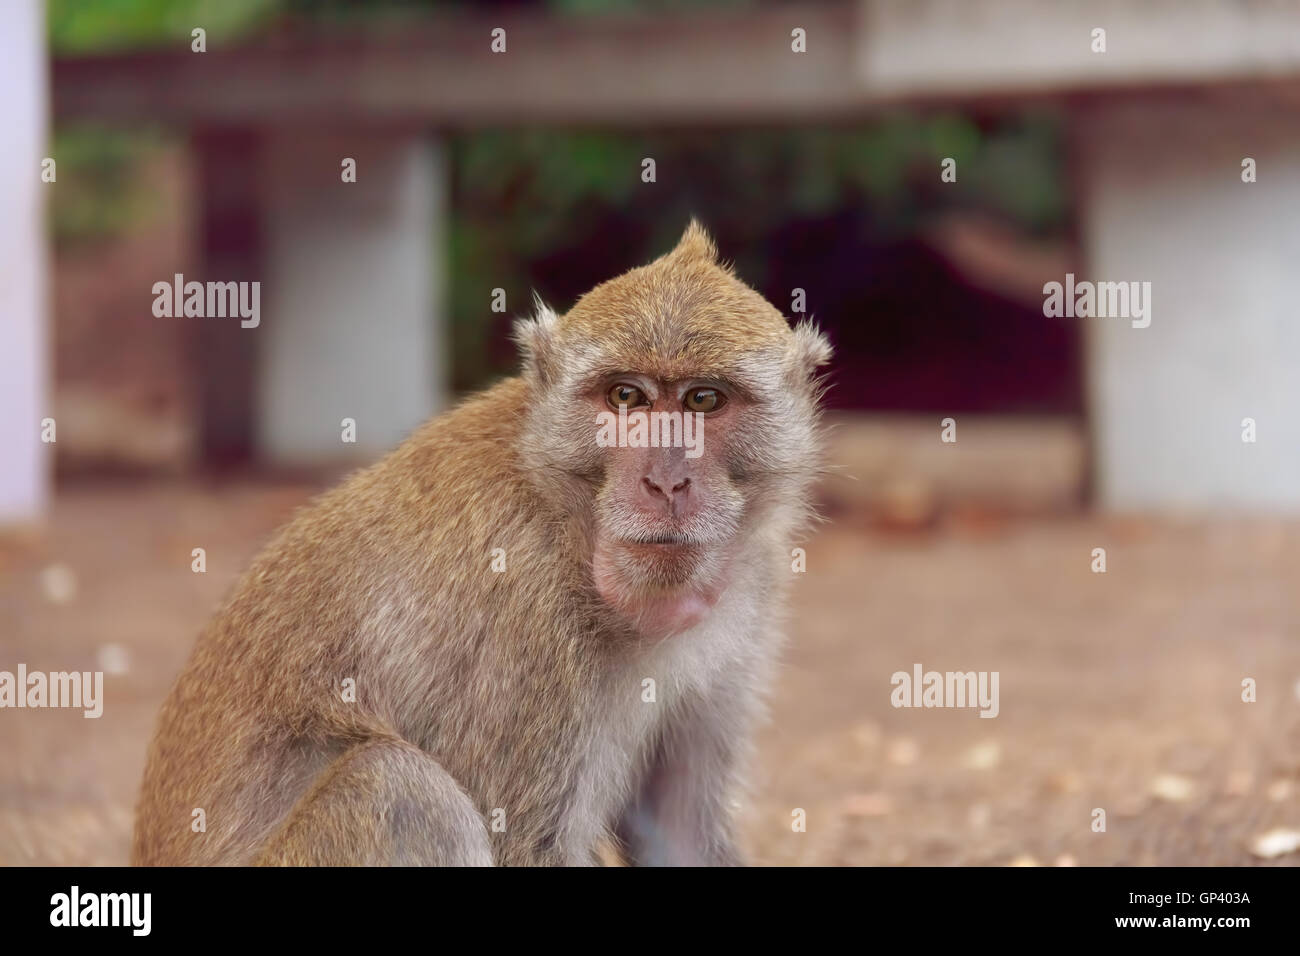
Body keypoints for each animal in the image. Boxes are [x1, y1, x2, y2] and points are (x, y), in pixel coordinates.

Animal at [131, 221, 832, 866]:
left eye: (704, 399)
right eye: (625, 397)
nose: (665, 481)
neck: (569, 519)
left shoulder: (753, 582)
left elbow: (679, 830)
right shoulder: (527, 620)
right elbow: (522, 843)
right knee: (400, 791)